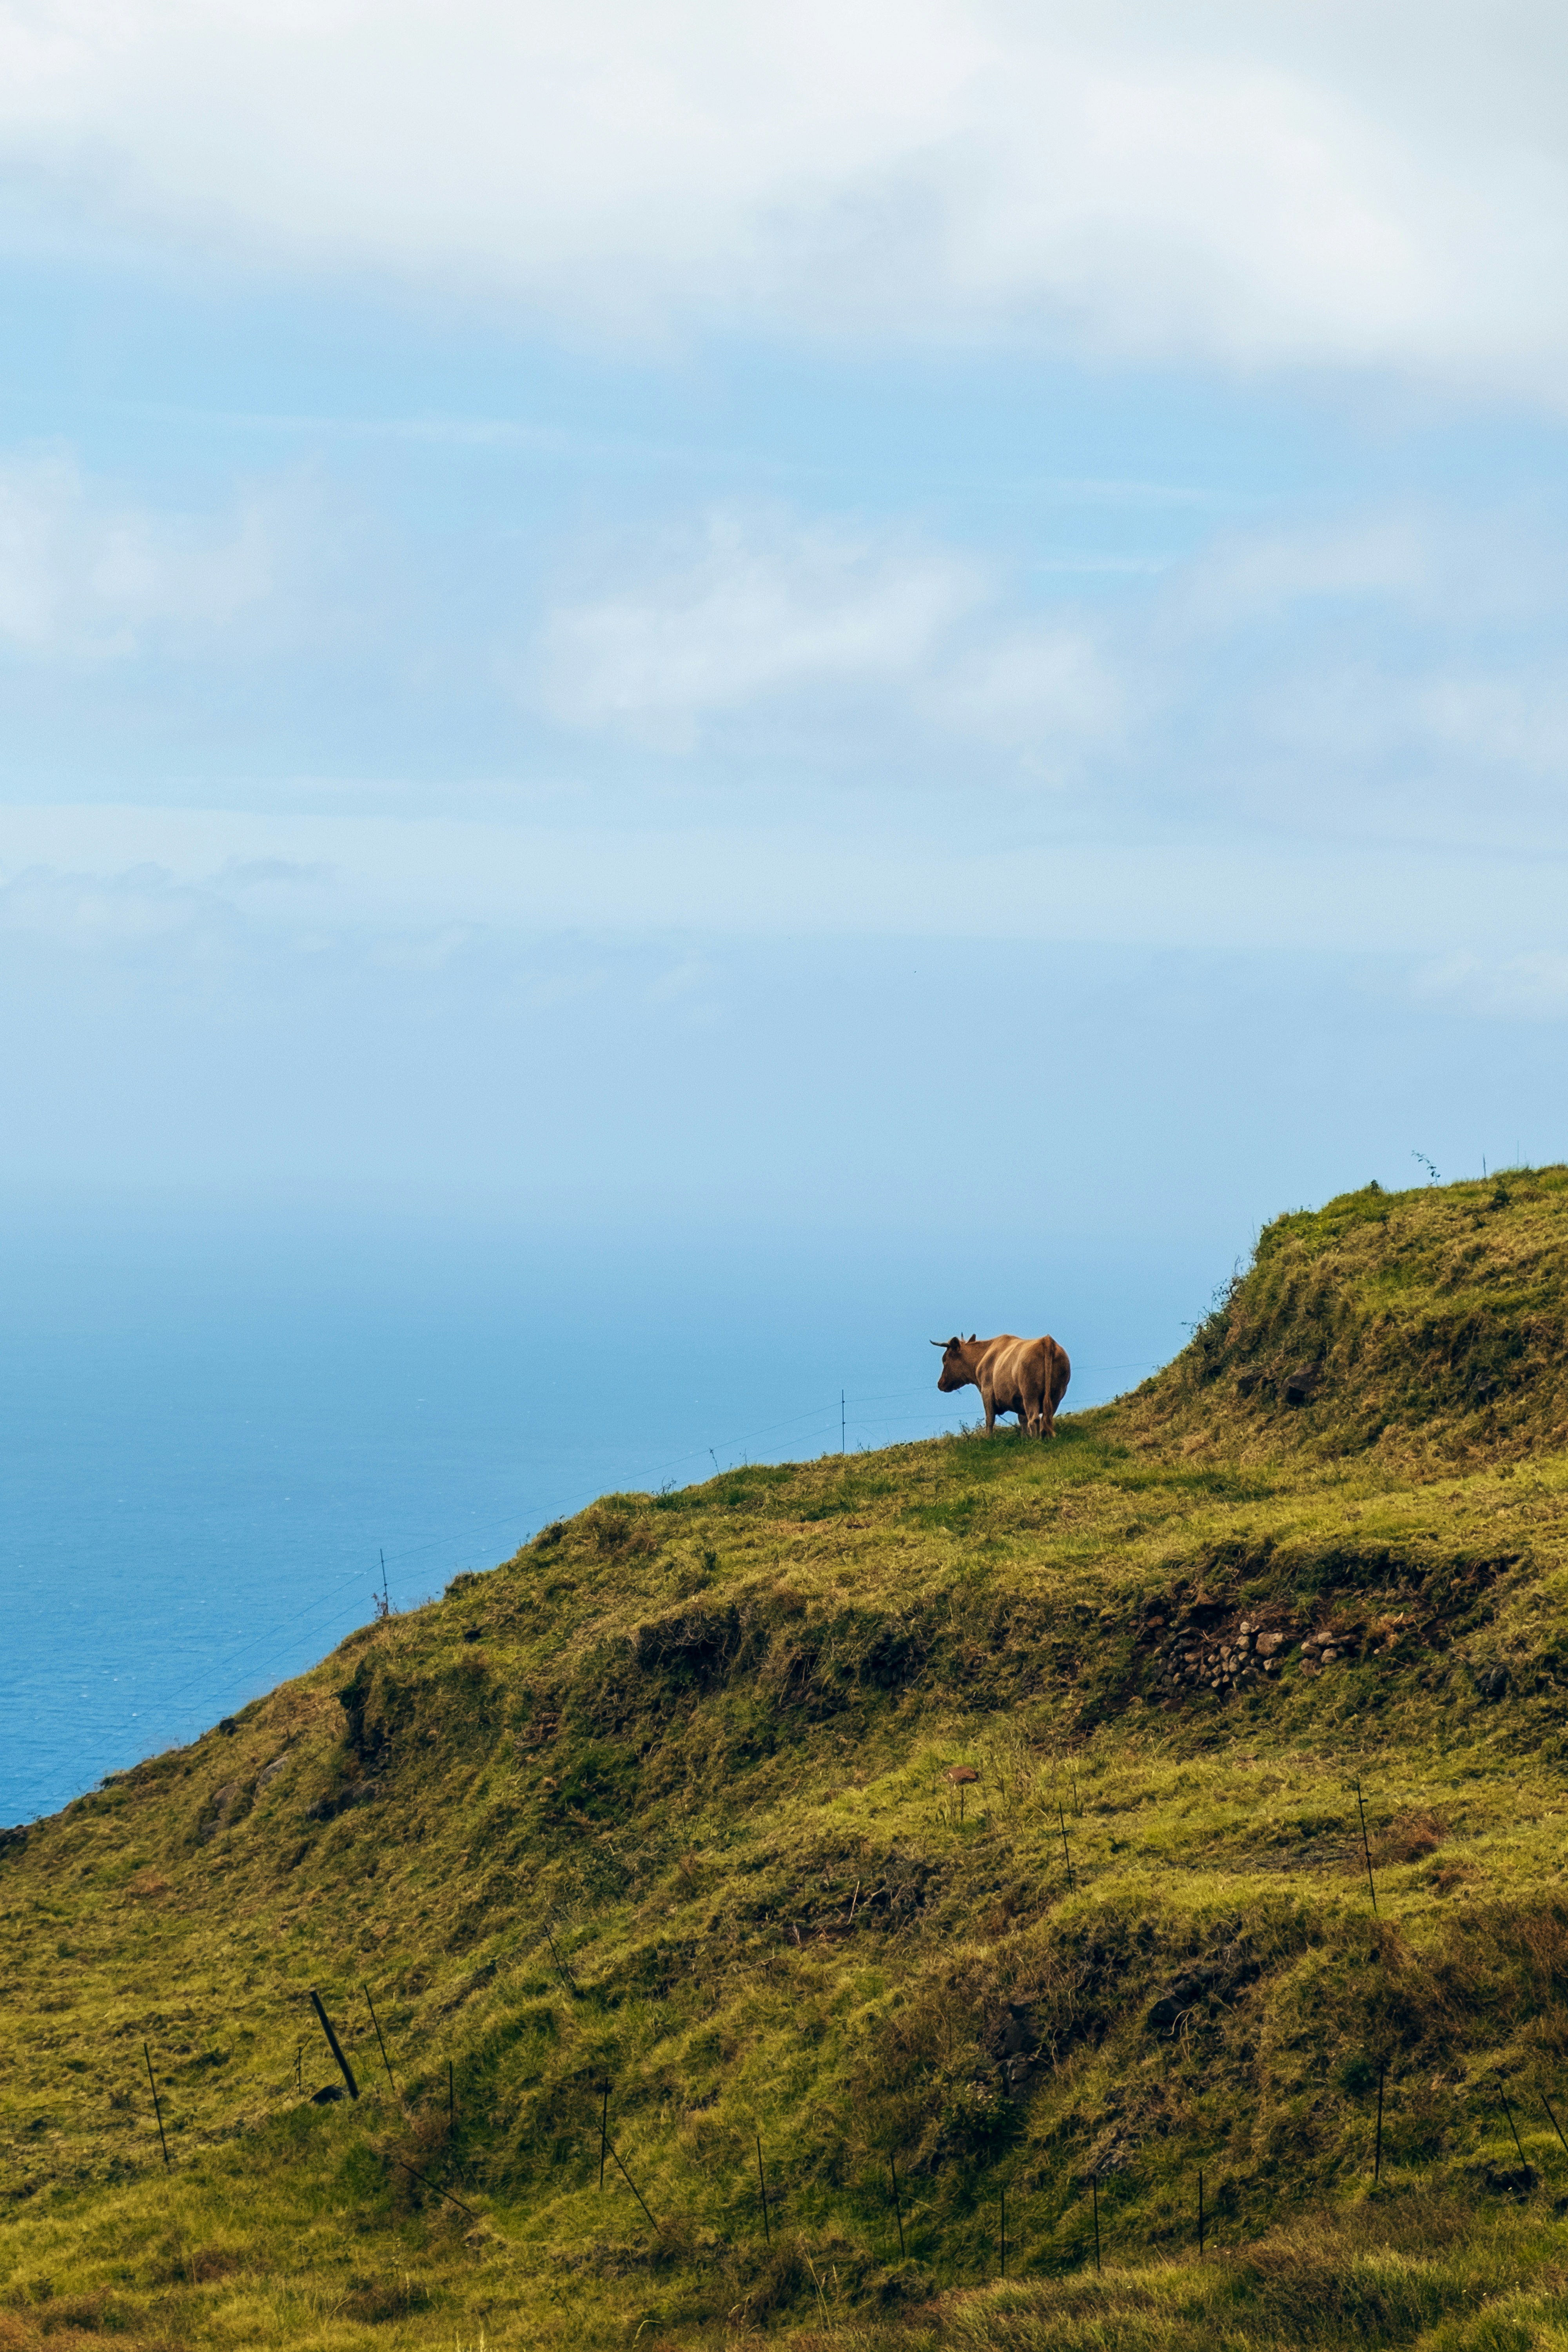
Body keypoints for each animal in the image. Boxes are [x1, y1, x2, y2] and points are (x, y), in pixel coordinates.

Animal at [932, 1331, 1071, 1438]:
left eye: (945, 1359)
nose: (940, 1384)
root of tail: (1046, 1341)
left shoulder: (987, 1392)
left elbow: (990, 1419)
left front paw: (988, 1439)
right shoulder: (1018, 1399)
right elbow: (1022, 1420)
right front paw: (1024, 1439)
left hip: (1030, 1394)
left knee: (1034, 1419)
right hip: (1057, 1394)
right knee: (1046, 1418)